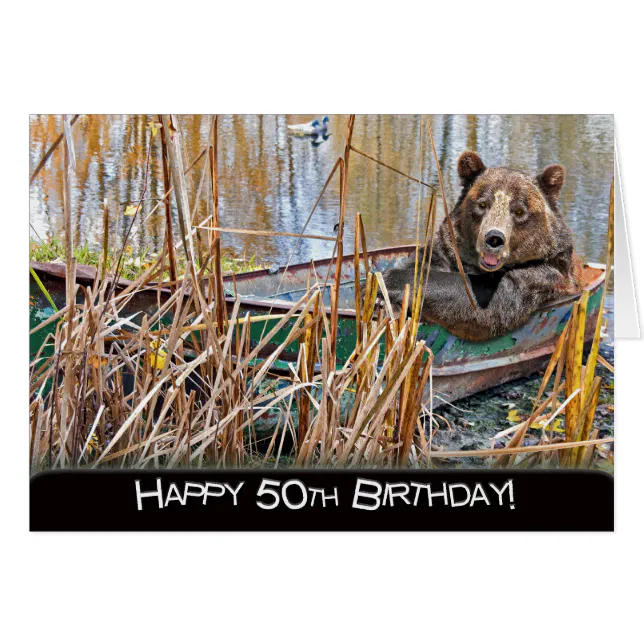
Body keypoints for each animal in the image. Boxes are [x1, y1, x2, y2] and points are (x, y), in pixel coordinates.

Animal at [378, 151, 583, 342]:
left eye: (519, 211)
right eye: (482, 204)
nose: (494, 239)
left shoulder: (543, 273)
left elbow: (487, 304)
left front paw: (390, 281)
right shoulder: (447, 252)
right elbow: (421, 264)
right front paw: (386, 300)